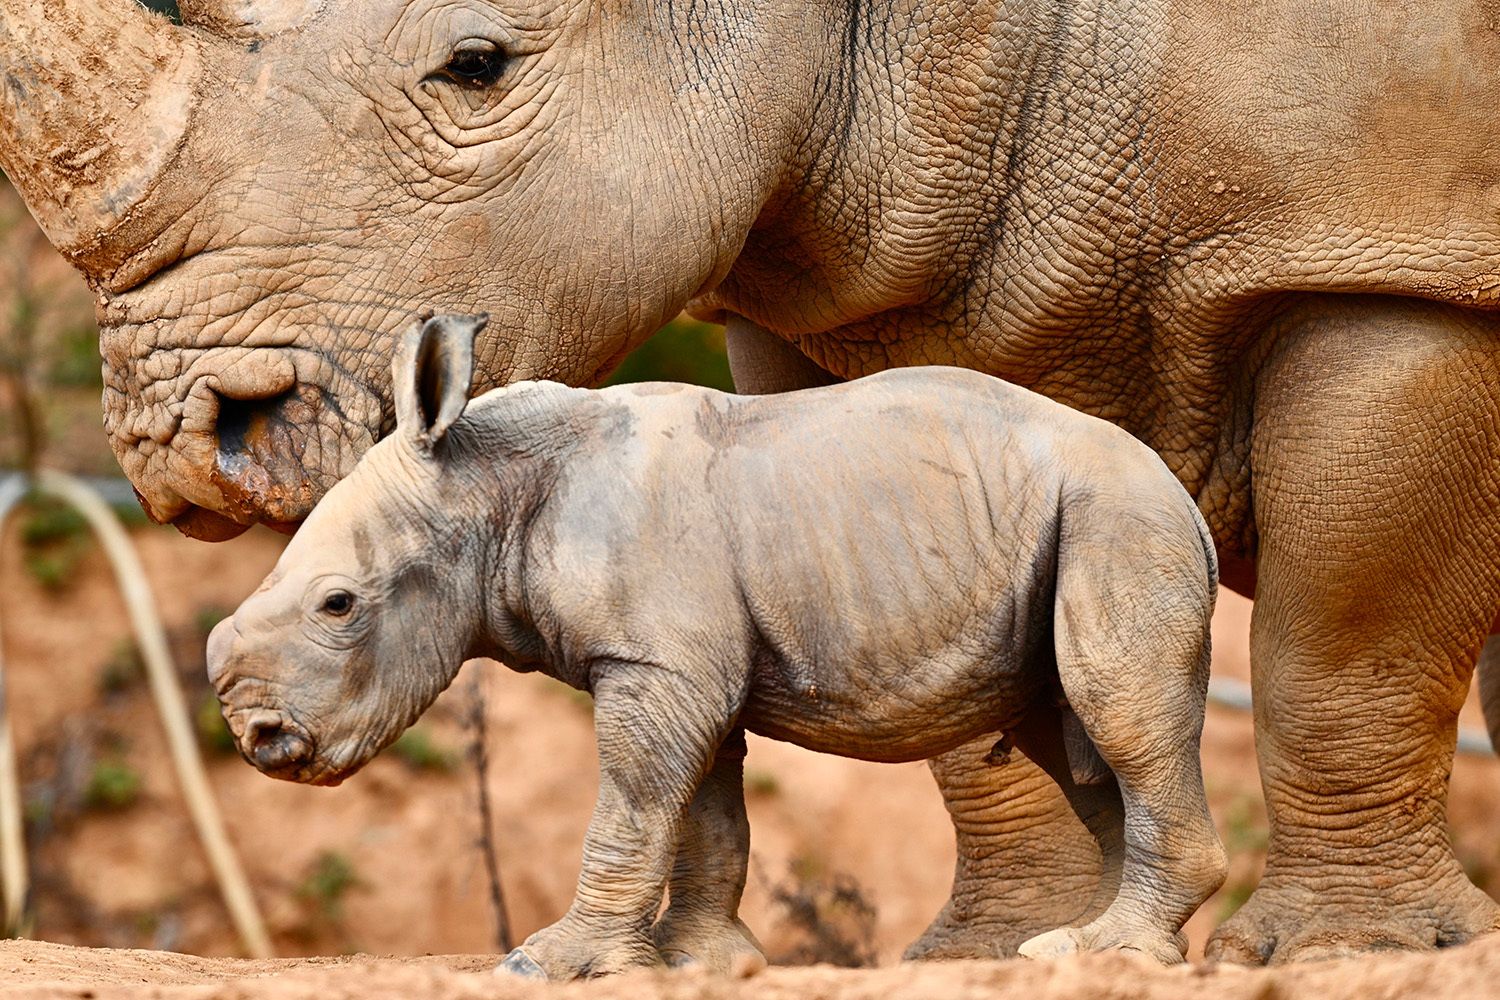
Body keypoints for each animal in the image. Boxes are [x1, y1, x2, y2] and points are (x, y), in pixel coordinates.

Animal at [207, 313, 1227, 978]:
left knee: (1115, 708)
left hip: (1118, 514)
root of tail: (1184, 499)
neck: (487, 485)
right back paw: (1086, 952)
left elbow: (632, 800)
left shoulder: (657, 663)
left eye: (338, 604)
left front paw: (547, 963)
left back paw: (1098, 953)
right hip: (1079, 516)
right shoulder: (682, 664)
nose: (262, 740)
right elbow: (701, 809)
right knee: (1075, 737)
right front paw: (702, 961)